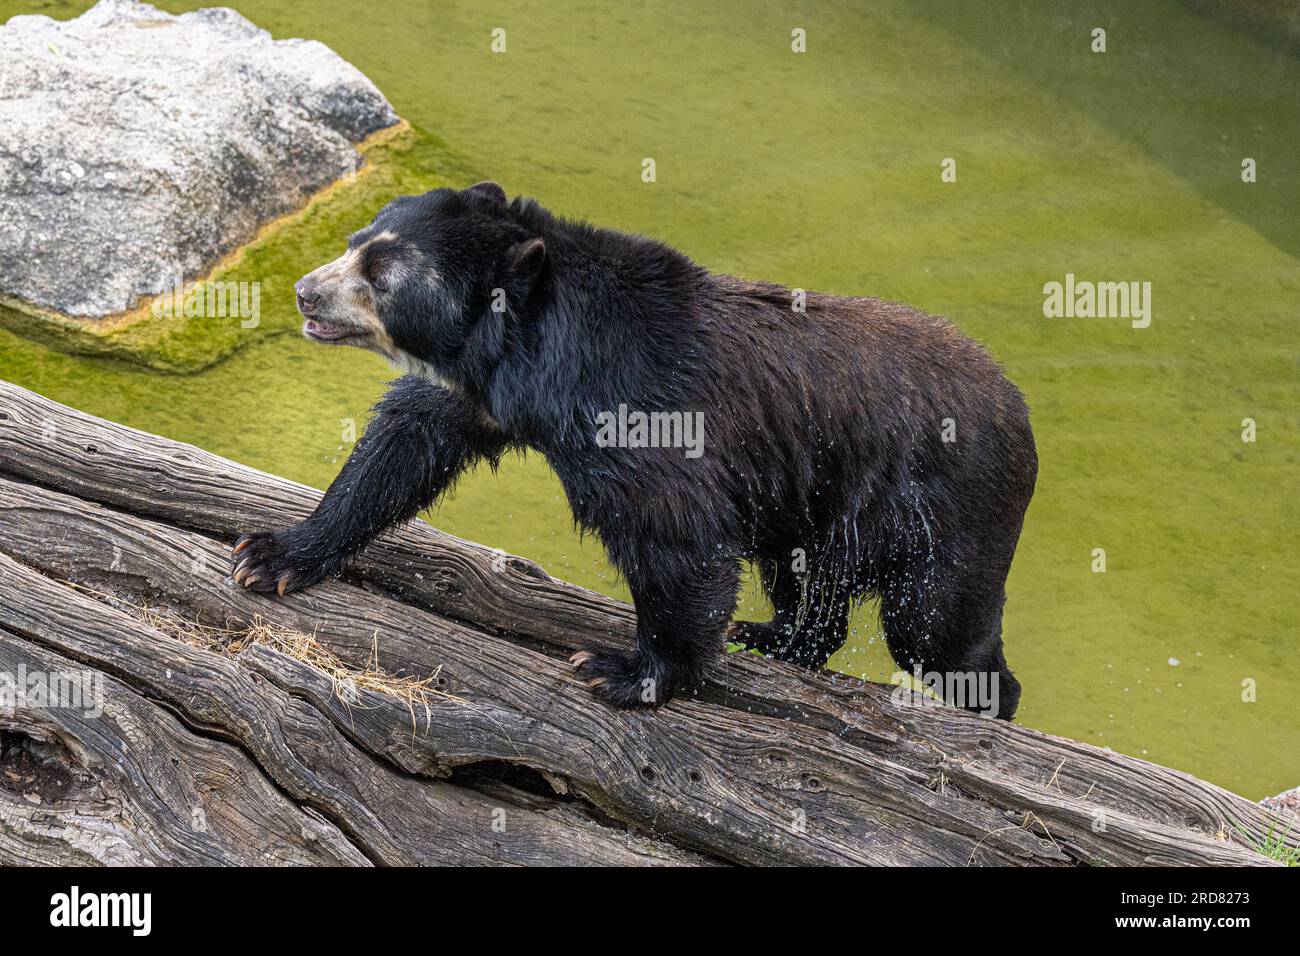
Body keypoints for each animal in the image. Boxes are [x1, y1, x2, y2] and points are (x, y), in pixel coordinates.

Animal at [231, 181, 1037, 719]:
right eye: (355, 241)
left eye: (382, 276)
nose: (304, 291)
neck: (537, 357)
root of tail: (1020, 409)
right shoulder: (478, 393)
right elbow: (402, 446)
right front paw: (271, 554)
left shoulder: (642, 410)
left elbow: (673, 531)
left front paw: (622, 669)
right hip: (810, 499)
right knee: (806, 582)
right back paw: (775, 638)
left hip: (941, 505)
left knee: (937, 620)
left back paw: (984, 701)